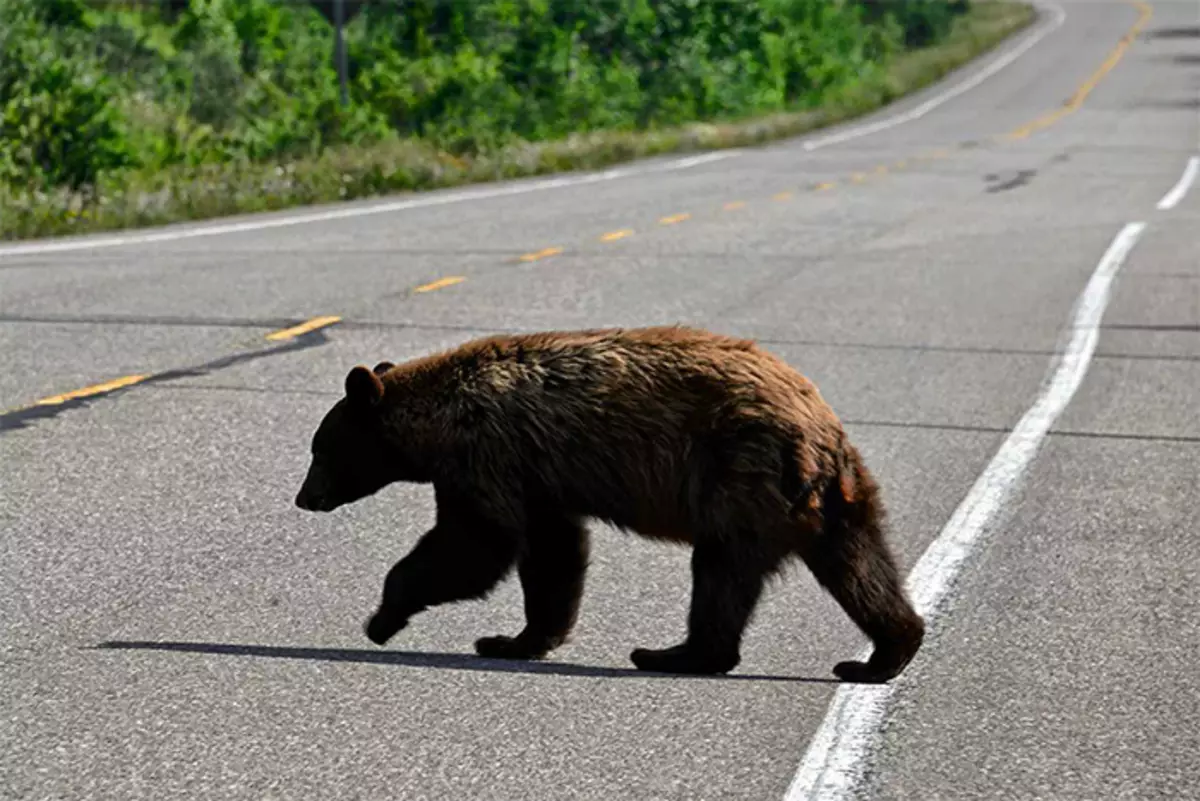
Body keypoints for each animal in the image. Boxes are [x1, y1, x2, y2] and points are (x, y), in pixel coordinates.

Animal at [295, 326, 921, 681]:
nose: (304, 497)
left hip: (739, 476)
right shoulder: (538, 479)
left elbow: (477, 543)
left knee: (720, 572)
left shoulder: (488, 456)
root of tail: (821, 429)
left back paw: (675, 653)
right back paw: (883, 654)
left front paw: (384, 616)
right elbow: (550, 553)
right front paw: (518, 639)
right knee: (860, 566)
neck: (437, 423)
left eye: (320, 449)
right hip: (832, 498)